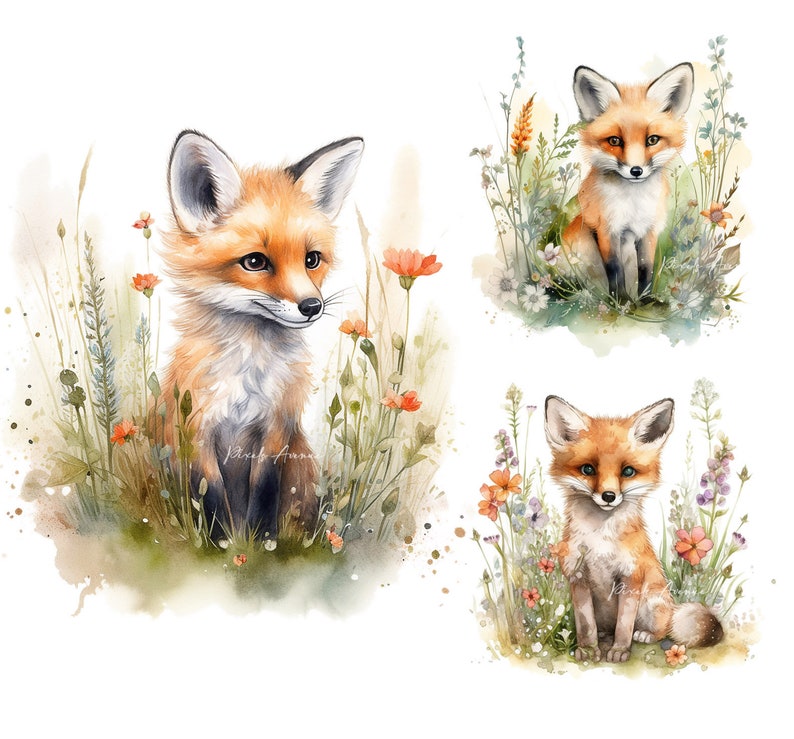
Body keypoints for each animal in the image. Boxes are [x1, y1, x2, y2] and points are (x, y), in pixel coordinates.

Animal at [158, 130, 364, 541]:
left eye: (311, 259)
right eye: (255, 261)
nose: (312, 306)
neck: (247, 372)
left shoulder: (276, 430)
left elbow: (266, 491)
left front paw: (260, 542)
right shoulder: (195, 430)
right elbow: (211, 498)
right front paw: (222, 545)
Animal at [544, 395, 723, 663]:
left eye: (627, 471)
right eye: (588, 469)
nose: (608, 496)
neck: (600, 538)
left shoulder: (630, 577)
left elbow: (624, 625)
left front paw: (619, 650)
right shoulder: (578, 575)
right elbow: (585, 625)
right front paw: (588, 649)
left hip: (652, 603)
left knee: (663, 629)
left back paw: (645, 635)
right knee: (604, 628)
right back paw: (603, 637)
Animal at [562, 62, 694, 299]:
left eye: (652, 140)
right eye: (615, 141)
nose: (636, 171)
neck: (634, 203)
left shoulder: (649, 230)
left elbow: (646, 268)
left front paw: (645, 300)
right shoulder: (607, 229)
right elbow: (615, 270)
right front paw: (621, 302)